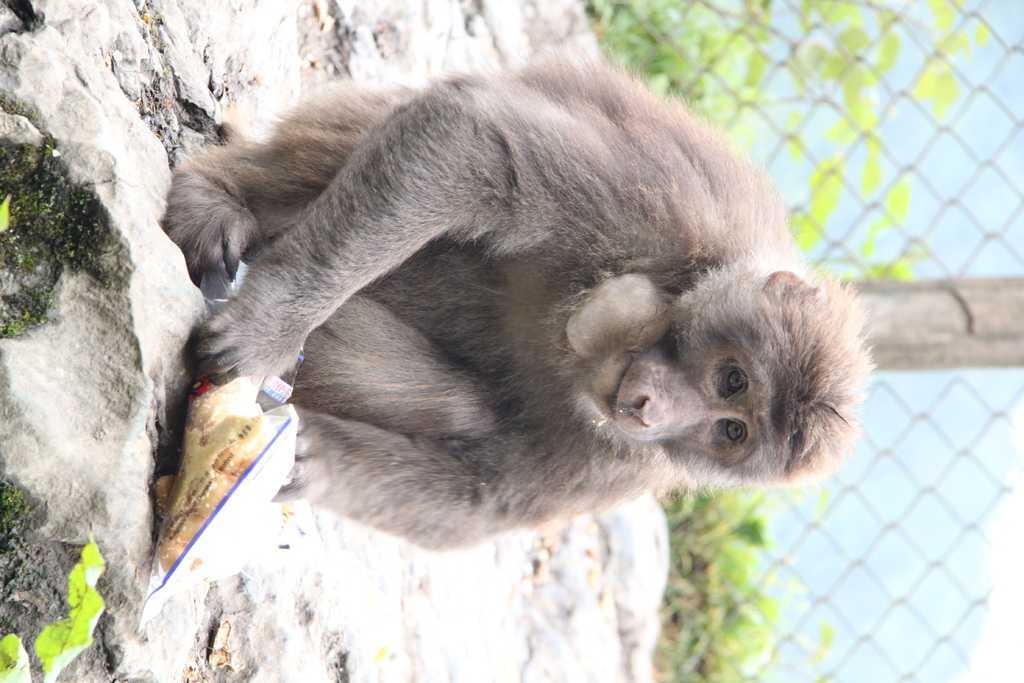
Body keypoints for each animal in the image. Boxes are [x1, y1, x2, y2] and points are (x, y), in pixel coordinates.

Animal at [162, 59, 872, 550]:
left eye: (731, 432)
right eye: (733, 381)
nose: (653, 411)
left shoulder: (625, 462)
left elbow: (481, 499)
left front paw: (307, 455)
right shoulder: (664, 210)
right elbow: (475, 143)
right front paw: (269, 329)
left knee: (462, 406)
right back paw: (222, 196)